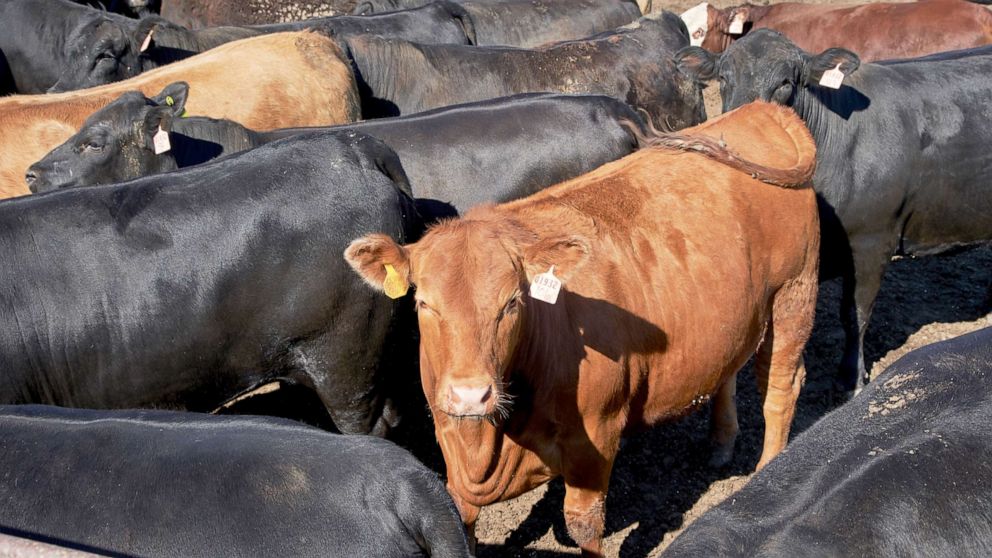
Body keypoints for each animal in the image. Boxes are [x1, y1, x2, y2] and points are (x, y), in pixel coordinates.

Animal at [344, 101, 820, 556]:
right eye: (423, 302)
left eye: (512, 302)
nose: (470, 395)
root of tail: (761, 111)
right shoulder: (451, 443)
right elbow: (460, 516)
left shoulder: (596, 435)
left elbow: (584, 525)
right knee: (730, 370)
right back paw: (720, 444)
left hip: (794, 293)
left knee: (780, 386)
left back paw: (768, 471)